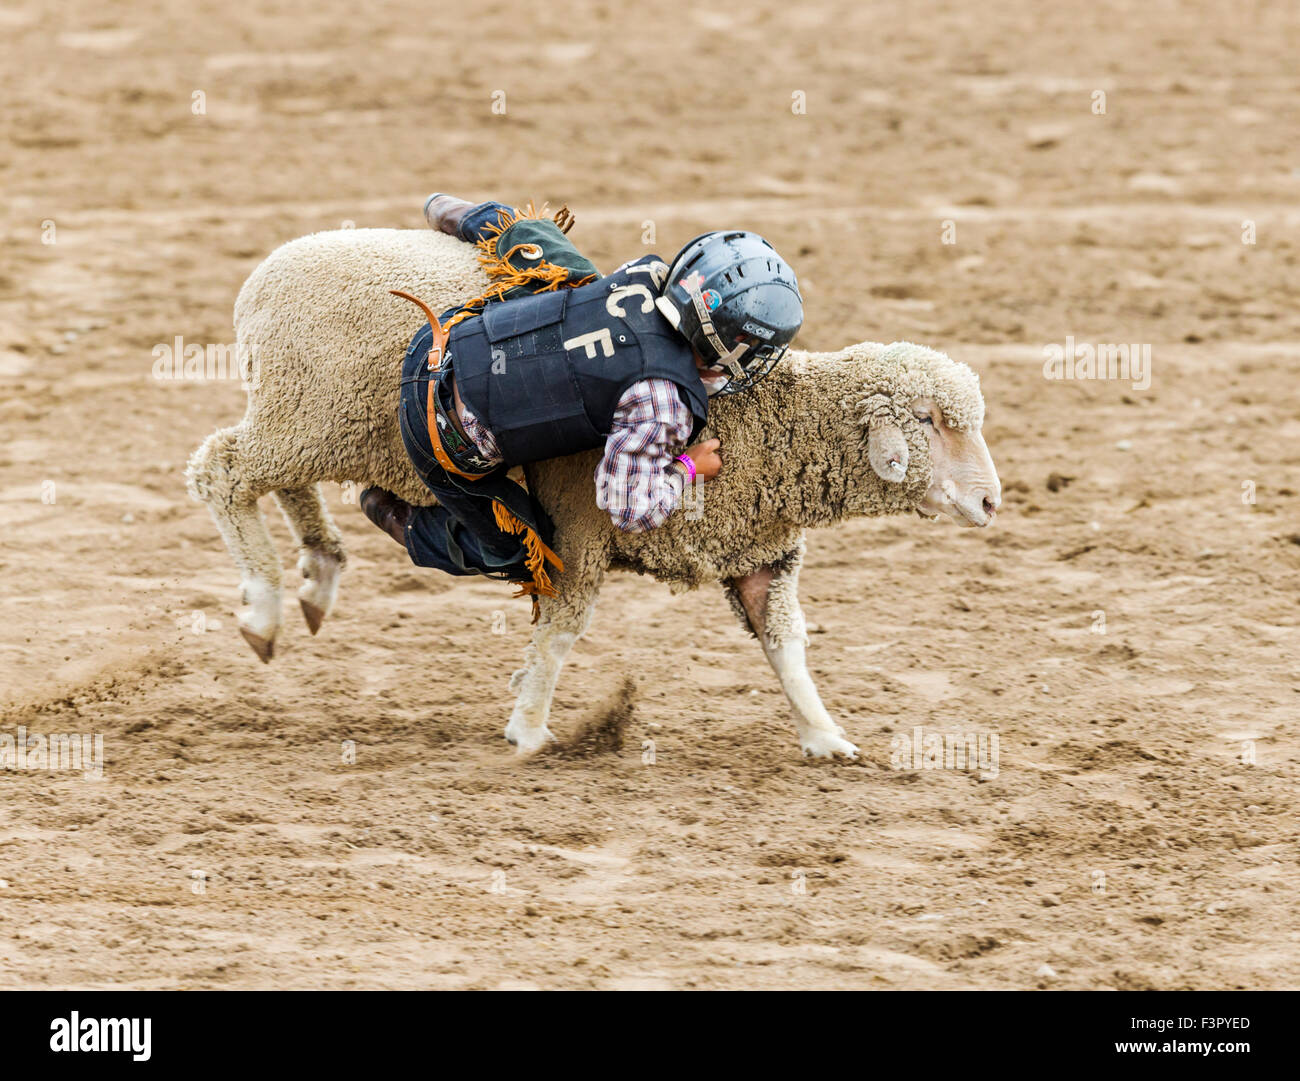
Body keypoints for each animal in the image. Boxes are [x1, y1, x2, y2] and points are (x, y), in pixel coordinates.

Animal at [187, 227, 1001, 758]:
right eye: (929, 420)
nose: (993, 502)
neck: (764, 419)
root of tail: (258, 284)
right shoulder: (579, 530)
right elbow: (560, 632)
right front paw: (528, 726)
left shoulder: (761, 560)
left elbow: (786, 648)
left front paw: (826, 735)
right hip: (316, 417)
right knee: (221, 469)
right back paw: (263, 603)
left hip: (313, 421)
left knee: (284, 483)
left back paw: (319, 571)